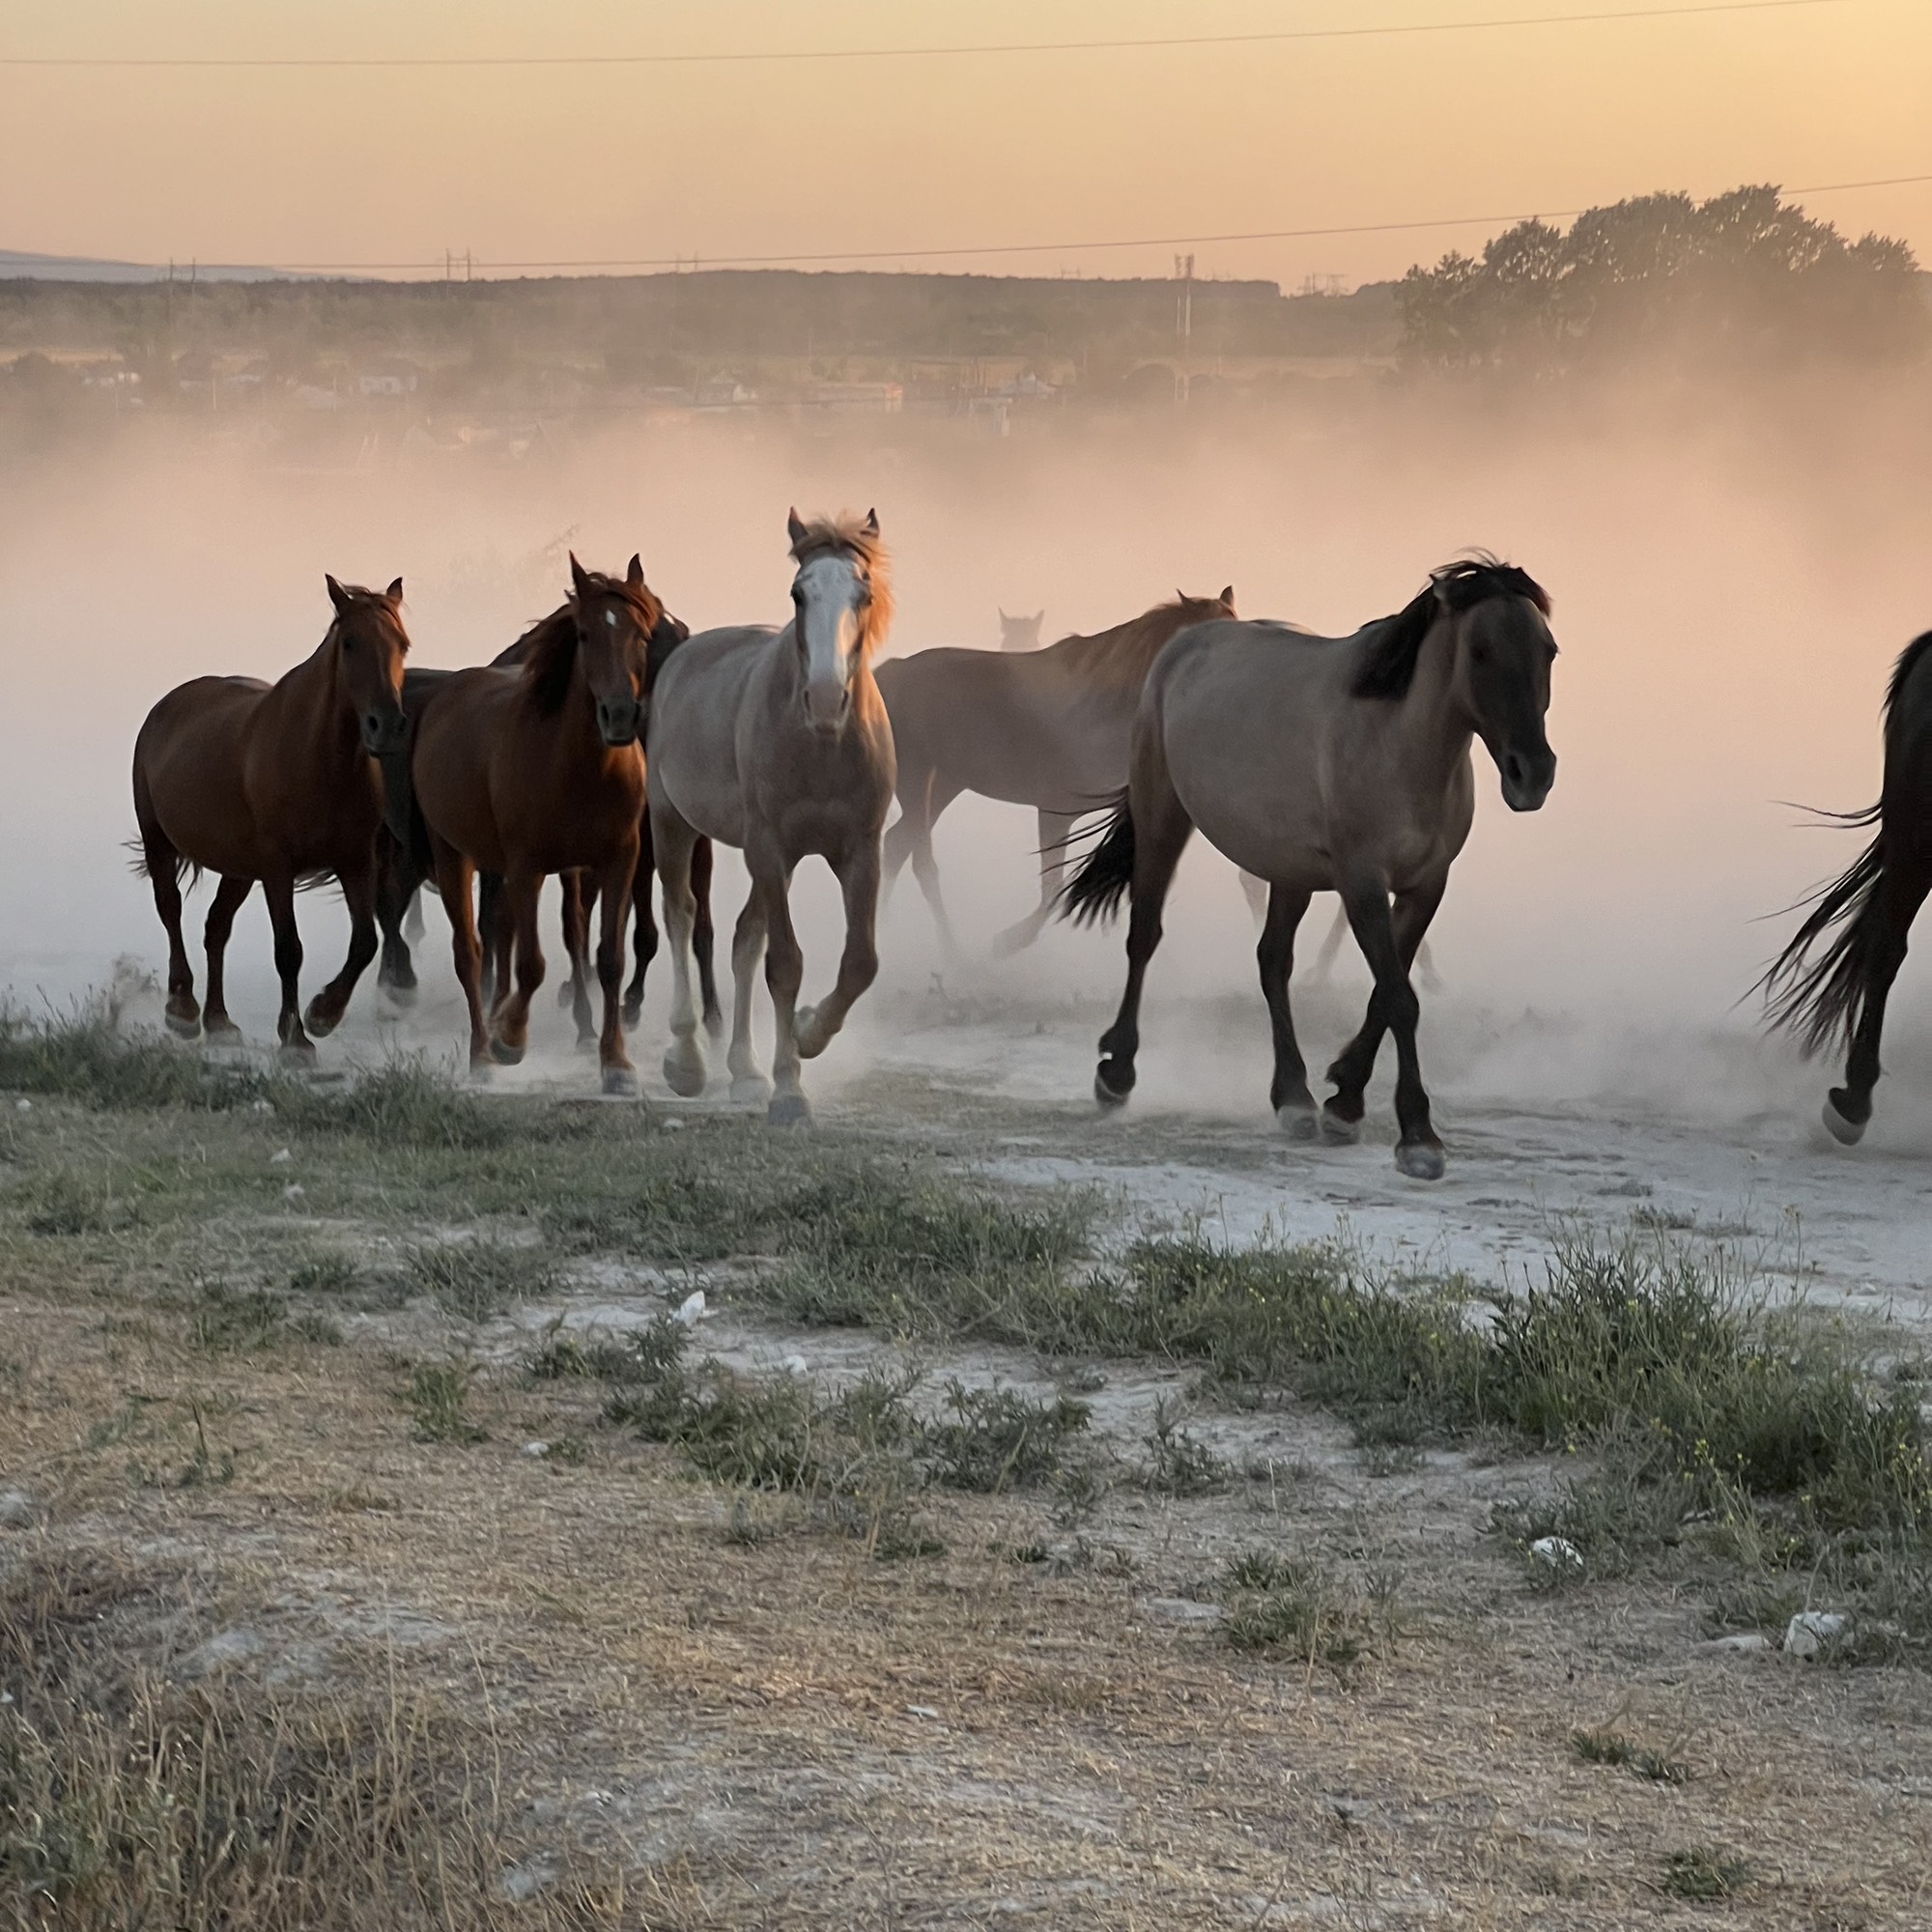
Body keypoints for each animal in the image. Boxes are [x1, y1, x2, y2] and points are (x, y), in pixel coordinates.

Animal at [130, 572, 410, 1059]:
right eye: (350, 643)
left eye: (403, 644)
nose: (387, 726)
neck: (320, 757)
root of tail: (165, 708)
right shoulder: (279, 869)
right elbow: (288, 950)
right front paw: (295, 1038)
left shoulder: (356, 861)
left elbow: (365, 941)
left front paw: (323, 1014)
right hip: (159, 843)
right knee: (171, 909)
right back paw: (182, 1009)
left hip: (240, 867)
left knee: (216, 928)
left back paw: (219, 1021)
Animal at [406, 560, 657, 1097]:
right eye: (583, 634)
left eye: (642, 634)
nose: (620, 715)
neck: (579, 766)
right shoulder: (527, 867)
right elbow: (531, 964)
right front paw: (510, 1039)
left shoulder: (618, 862)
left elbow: (609, 959)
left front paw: (616, 1064)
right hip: (454, 854)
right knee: (471, 952)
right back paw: (482, 1053)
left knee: (503, 933)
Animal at [645, 510, 893, 1128]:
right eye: (799, 593)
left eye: (864, 593)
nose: (825, 697)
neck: (823, 745)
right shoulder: (770, 847)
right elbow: (784, 964)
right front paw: (789, 1091)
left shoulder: (860, 851)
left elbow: (860, 962)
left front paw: (806, 1034)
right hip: (674, 824)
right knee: (681, 915)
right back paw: (688, 1061)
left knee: (742, 939)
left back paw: (745, 1071)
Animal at [1066, 560, 1561, 1182]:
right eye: (1480, 651)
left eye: (1549, 650)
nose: (1532, 774)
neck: (1398, 744)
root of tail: (1186, 642)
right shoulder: (1362, 884)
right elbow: (1400, 999)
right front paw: (1417, 1137)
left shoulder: (1424, 887)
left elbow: (1382, 995)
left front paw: (1343, 1101)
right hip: (1163, 819)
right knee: (1145, 936)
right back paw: (1117, 1073)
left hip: (1290, 872)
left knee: (1273, 962)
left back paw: (1293, 1097)